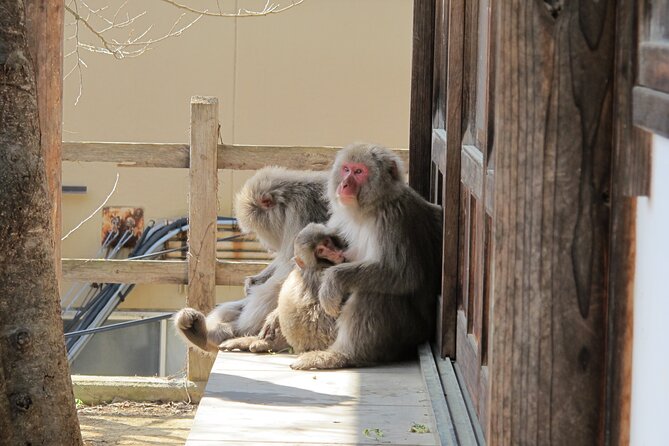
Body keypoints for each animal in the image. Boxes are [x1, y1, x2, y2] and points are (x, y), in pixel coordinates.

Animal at [174, 166, 330, 354]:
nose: (265, 244)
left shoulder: (303, 214)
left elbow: (295, 265)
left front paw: (274, 317)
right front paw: (254, 279)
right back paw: (206, 334)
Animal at [290, 142, 443, 370]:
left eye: (359, 172)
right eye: (346, 169)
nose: (344, 184)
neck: (371, 208)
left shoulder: (393, 218)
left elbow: (404, 274)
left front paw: (331, 283)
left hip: (407, 331)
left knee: (372, 291)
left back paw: (342, 355)